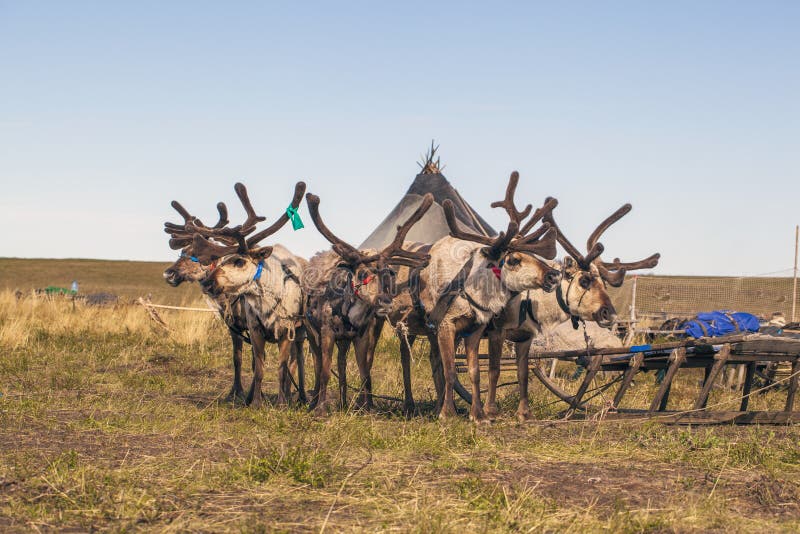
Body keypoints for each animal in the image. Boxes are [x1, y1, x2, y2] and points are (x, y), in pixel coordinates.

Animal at [179, 182, 309, 408]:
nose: (209, 282)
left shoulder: (286, 331)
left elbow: (282, 369)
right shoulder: (255, 330)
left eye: (239, 261)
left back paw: (299, 395)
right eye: (222, 260)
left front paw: (281, 403)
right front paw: (255, 401)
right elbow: (259, 368)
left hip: (300, 332)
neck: (266, 300)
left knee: (298, 360)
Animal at [301, 192, 433, 416]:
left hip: (346, 339)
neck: (348, 314)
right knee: (319, 365)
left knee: (342, 362)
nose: (385, 302)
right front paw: (320, 409)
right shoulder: (327, 332)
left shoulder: (361, 335)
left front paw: (367, 408)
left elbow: (365, 371)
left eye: (389, 275)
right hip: (311, 332)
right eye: (362, 274)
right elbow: (325, 371)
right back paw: (314, 402)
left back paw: (343, 402)